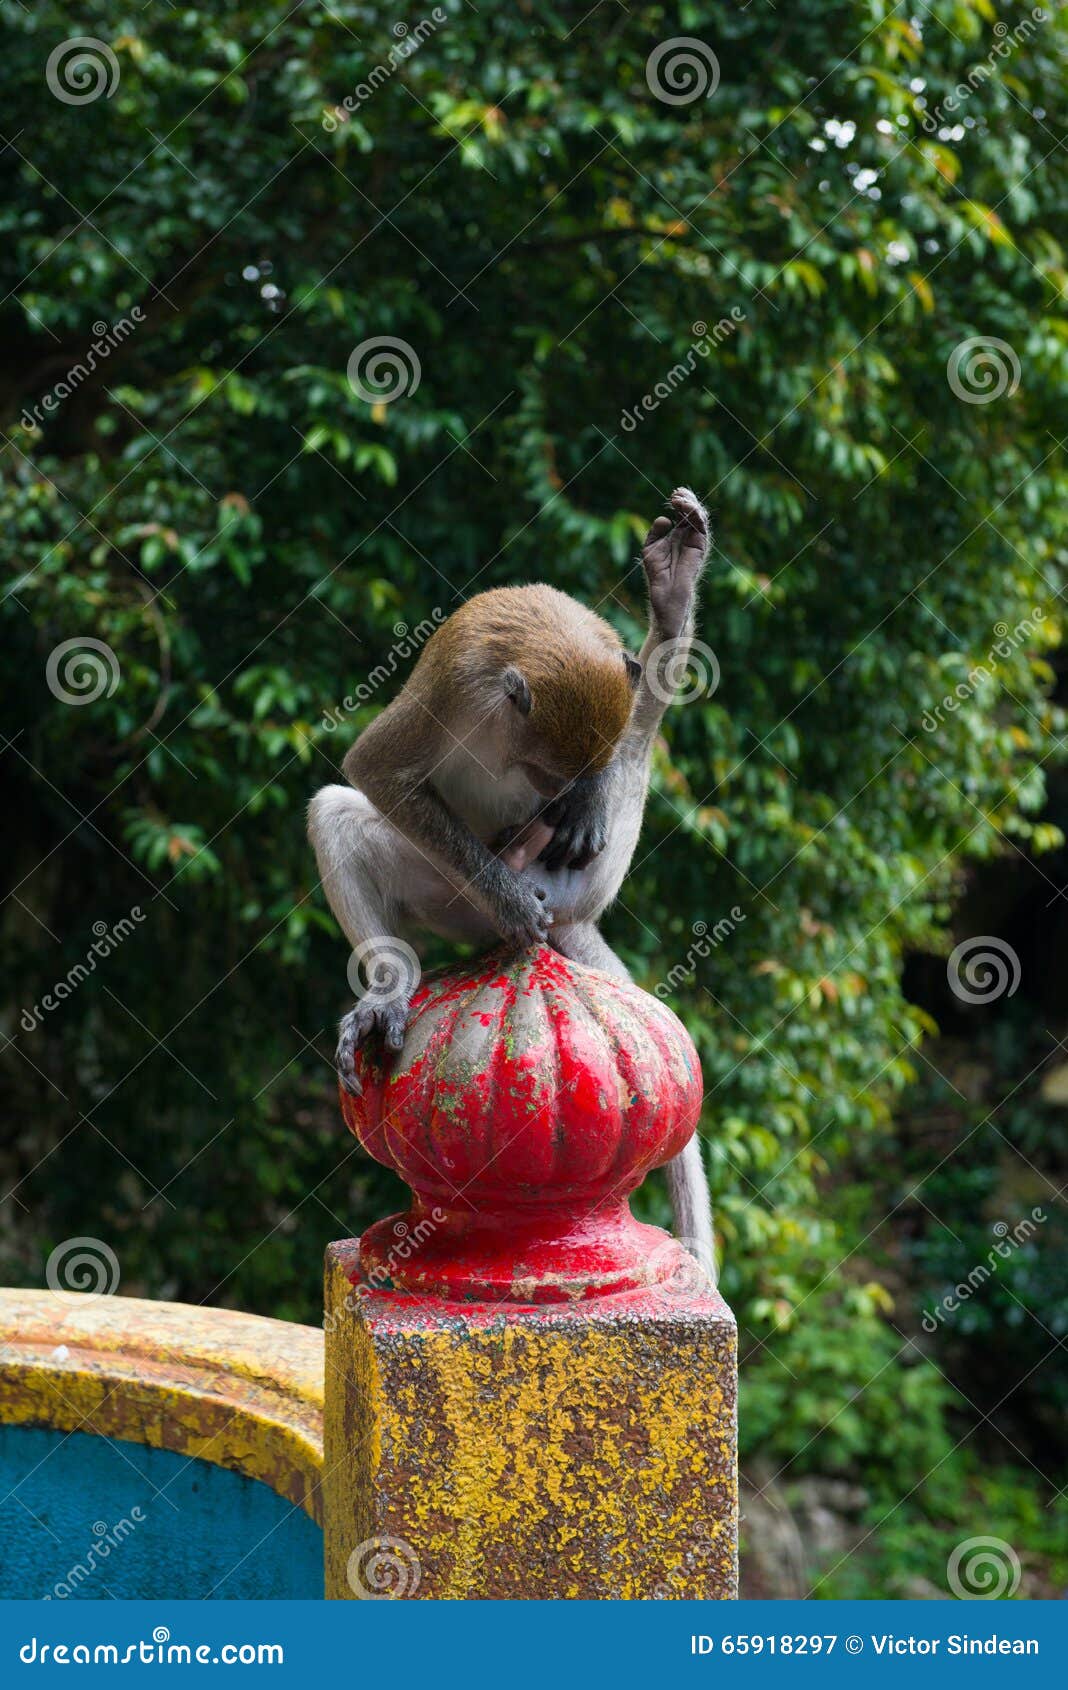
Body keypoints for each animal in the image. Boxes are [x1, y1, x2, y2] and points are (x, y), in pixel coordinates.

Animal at [308, 487, 714, 1261]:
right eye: (542, 772)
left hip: (589, 881)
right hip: (448, 896)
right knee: (338, 813)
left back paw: (672, 599)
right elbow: (374, 768)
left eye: (565, 778)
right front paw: (508, 895)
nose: (561, 798)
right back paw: (395, 985)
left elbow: (625, 716)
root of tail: (570, 914)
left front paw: (587, 803)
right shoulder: (453, 688)